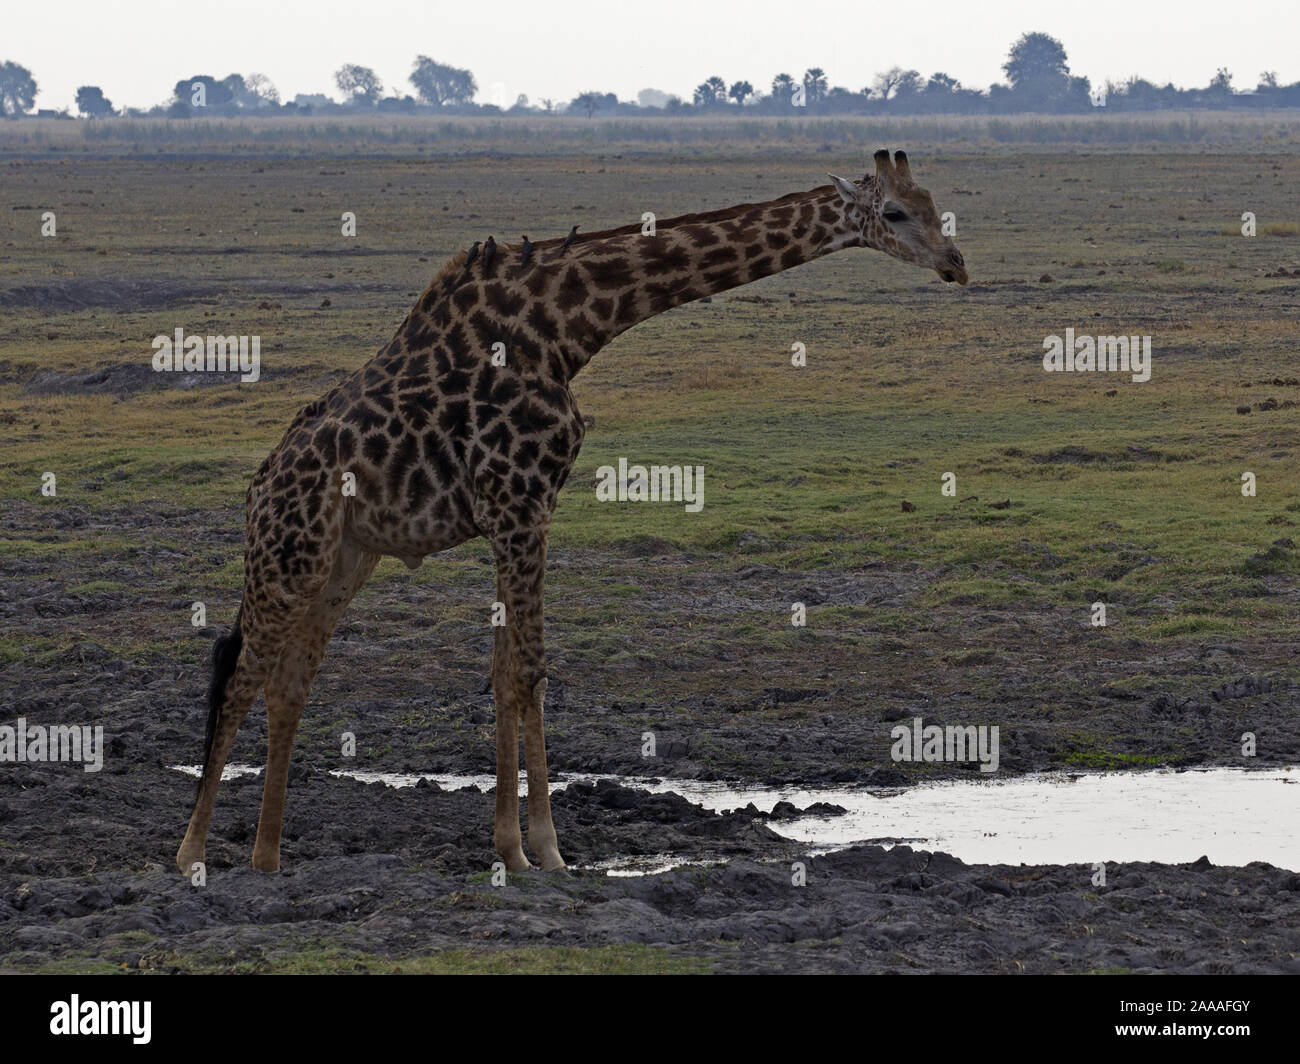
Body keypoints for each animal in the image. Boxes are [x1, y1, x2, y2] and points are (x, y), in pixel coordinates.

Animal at [176, 148, 967, 876]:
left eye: (936, 205)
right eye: (896, 212)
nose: (956, 264)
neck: (565, 326)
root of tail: (258, 488)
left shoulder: (523, 509)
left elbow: (506, 671)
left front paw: (513, 847)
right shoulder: (519, 501)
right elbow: (527, 669)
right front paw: (544, 852)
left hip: (344, 556)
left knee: (289, 680)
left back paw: (267, 856)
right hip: (291, 551)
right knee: (241, 671)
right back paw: (191, 855)